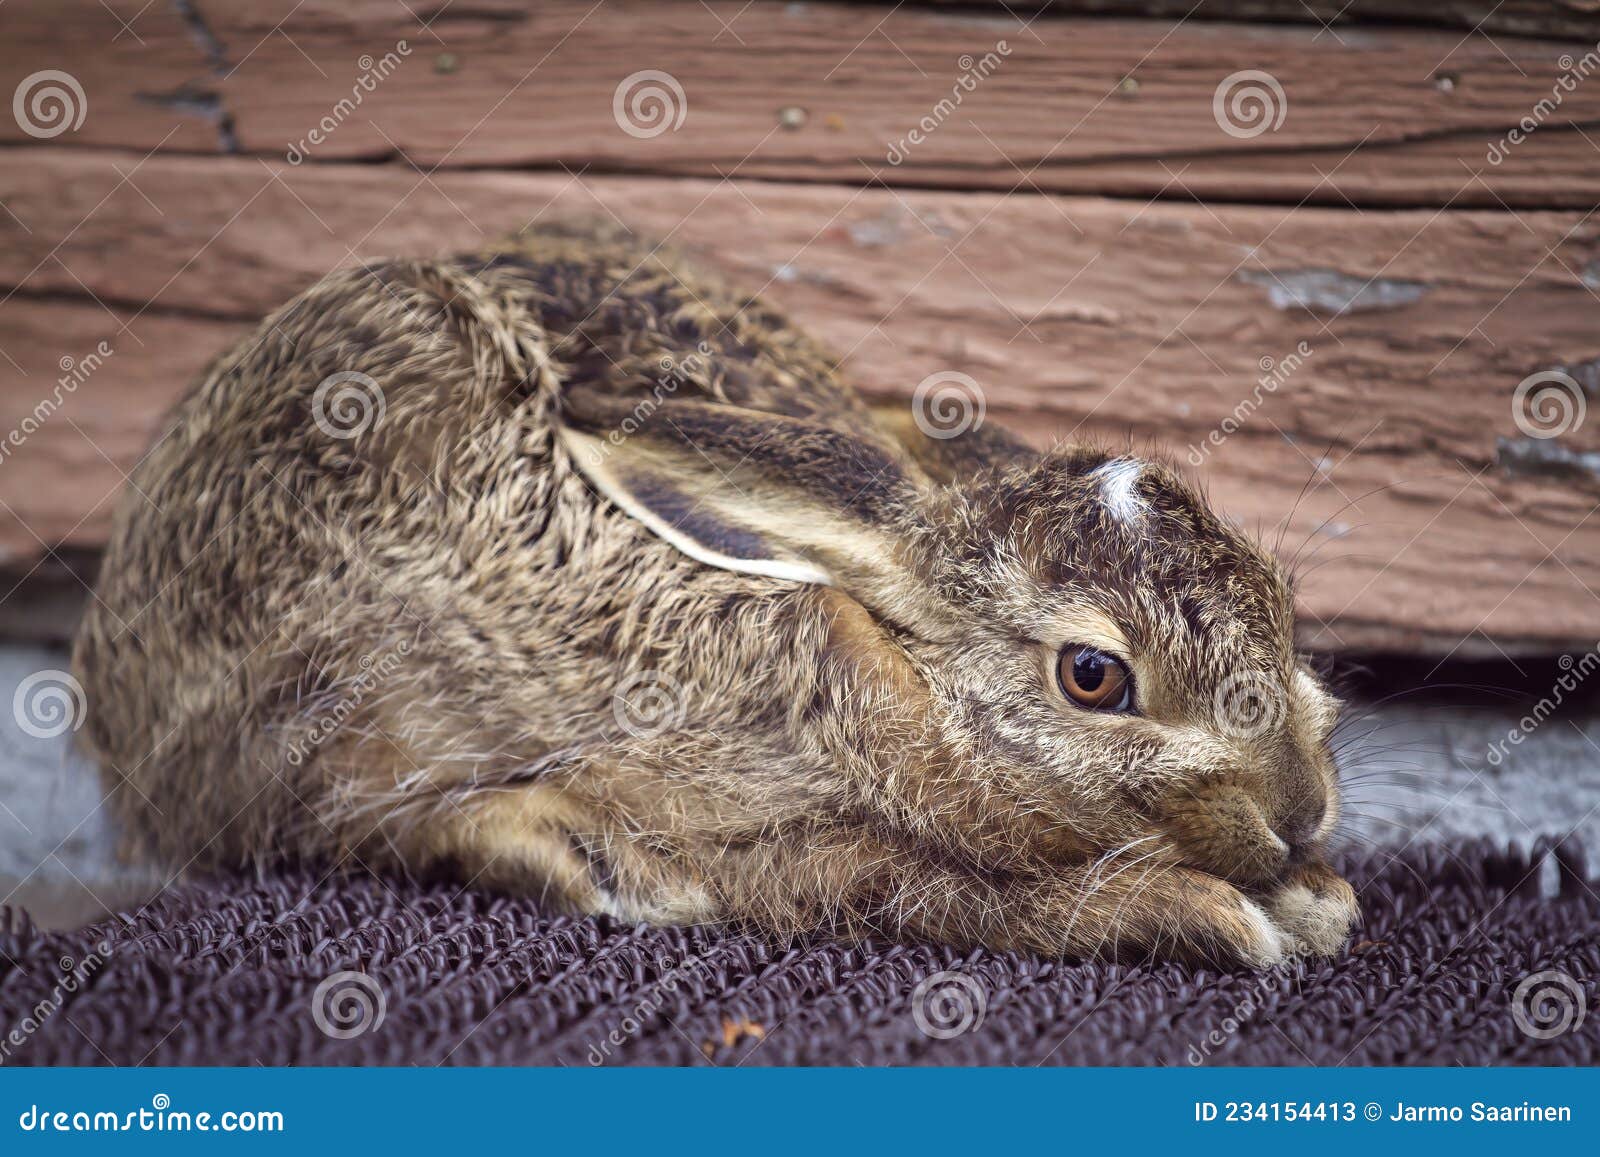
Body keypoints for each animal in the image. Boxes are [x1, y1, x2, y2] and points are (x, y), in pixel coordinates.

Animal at [72, 221, 1357, 967]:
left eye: (1277, 593)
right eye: (1093, 677)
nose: (1301, 809)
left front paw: (1315, 894)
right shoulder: (770, 824)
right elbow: (950, 892)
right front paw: (1239, 915)